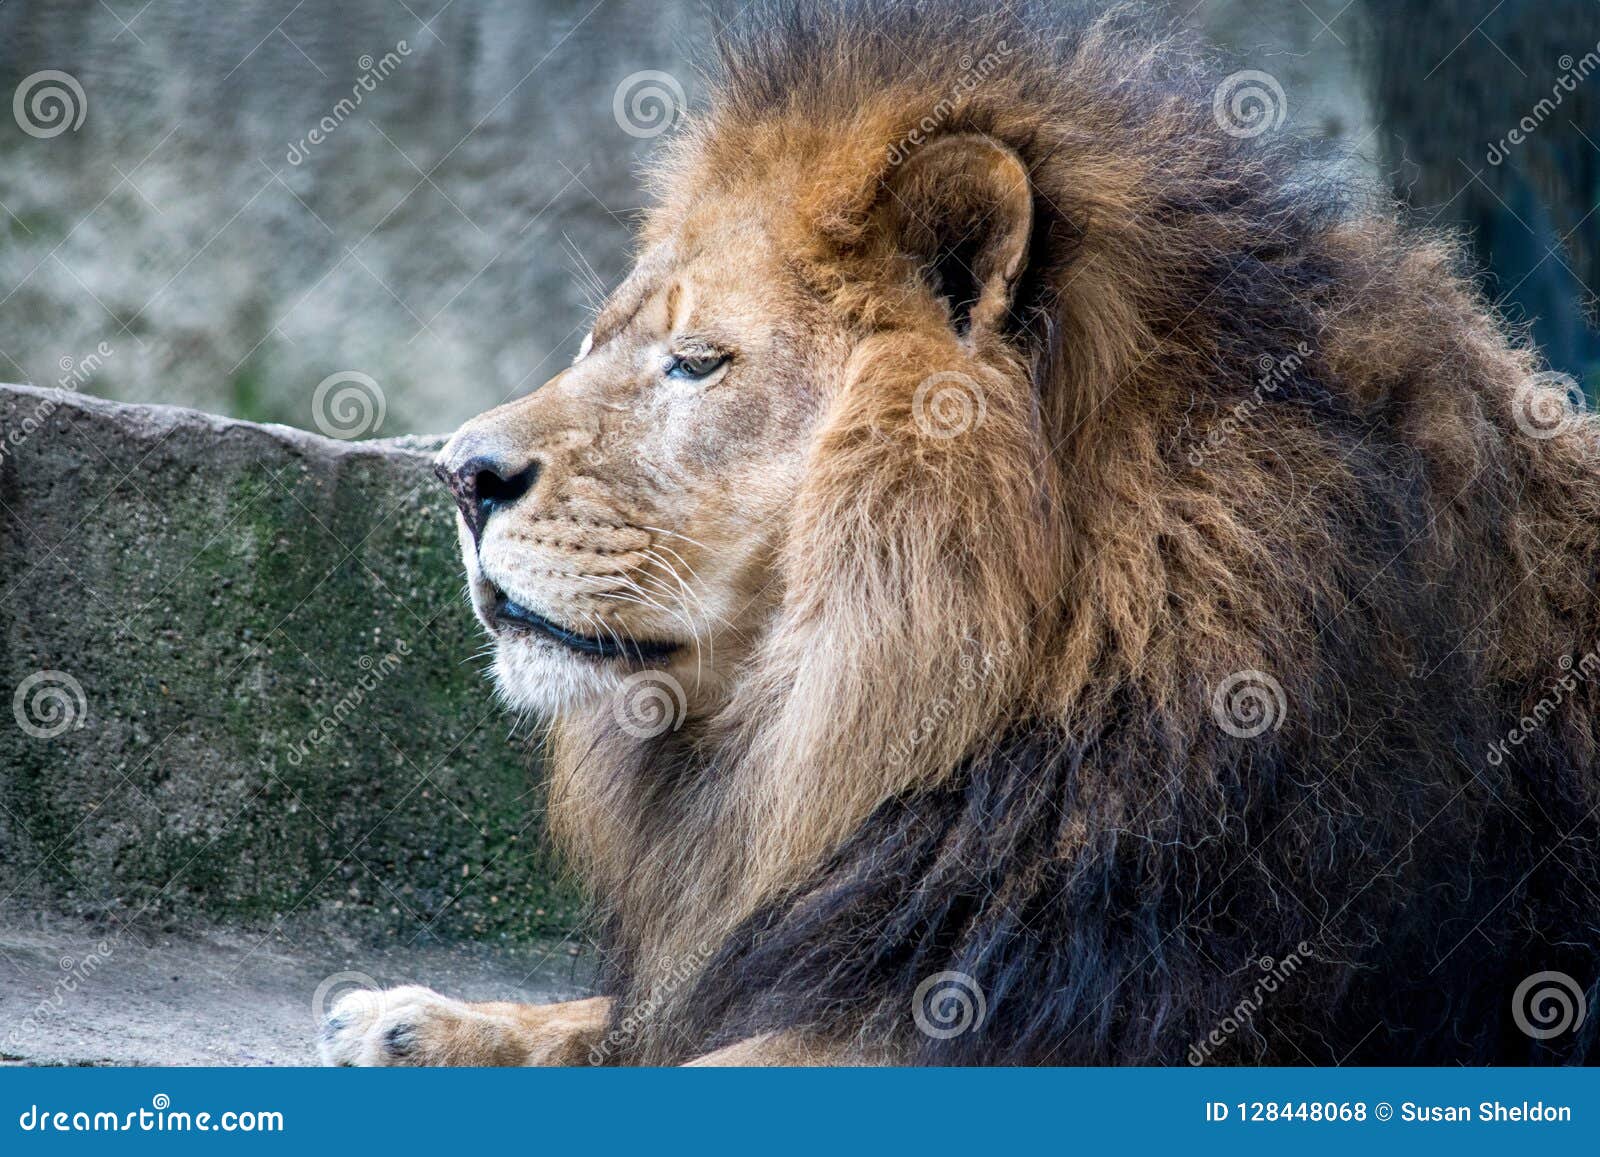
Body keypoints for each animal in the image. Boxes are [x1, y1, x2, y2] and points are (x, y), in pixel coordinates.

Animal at [320, 0, 1600, 1066]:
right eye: (599, 342)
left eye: (696, 361)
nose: (459, 473)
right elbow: (629, 1021)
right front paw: (413, 1017)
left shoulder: (1079, 1000)